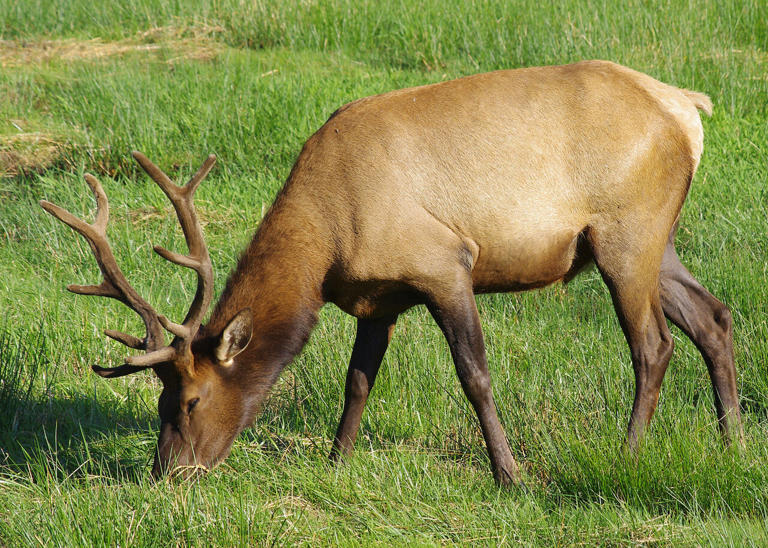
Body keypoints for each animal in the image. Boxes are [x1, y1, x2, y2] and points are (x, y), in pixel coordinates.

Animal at [41, 60, 742, 485]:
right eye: (158, 400)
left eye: (188, 399)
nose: (167, 472)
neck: (329, 241)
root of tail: (687, 108)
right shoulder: (377, 298)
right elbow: (357, 382)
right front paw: (335, 462)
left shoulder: (444, 263)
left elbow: (474, 376)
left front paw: (509, 474)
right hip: (650, 240)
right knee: (713, 316)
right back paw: (733, 441)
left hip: (626, 232)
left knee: (654, 344)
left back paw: (628, 452)